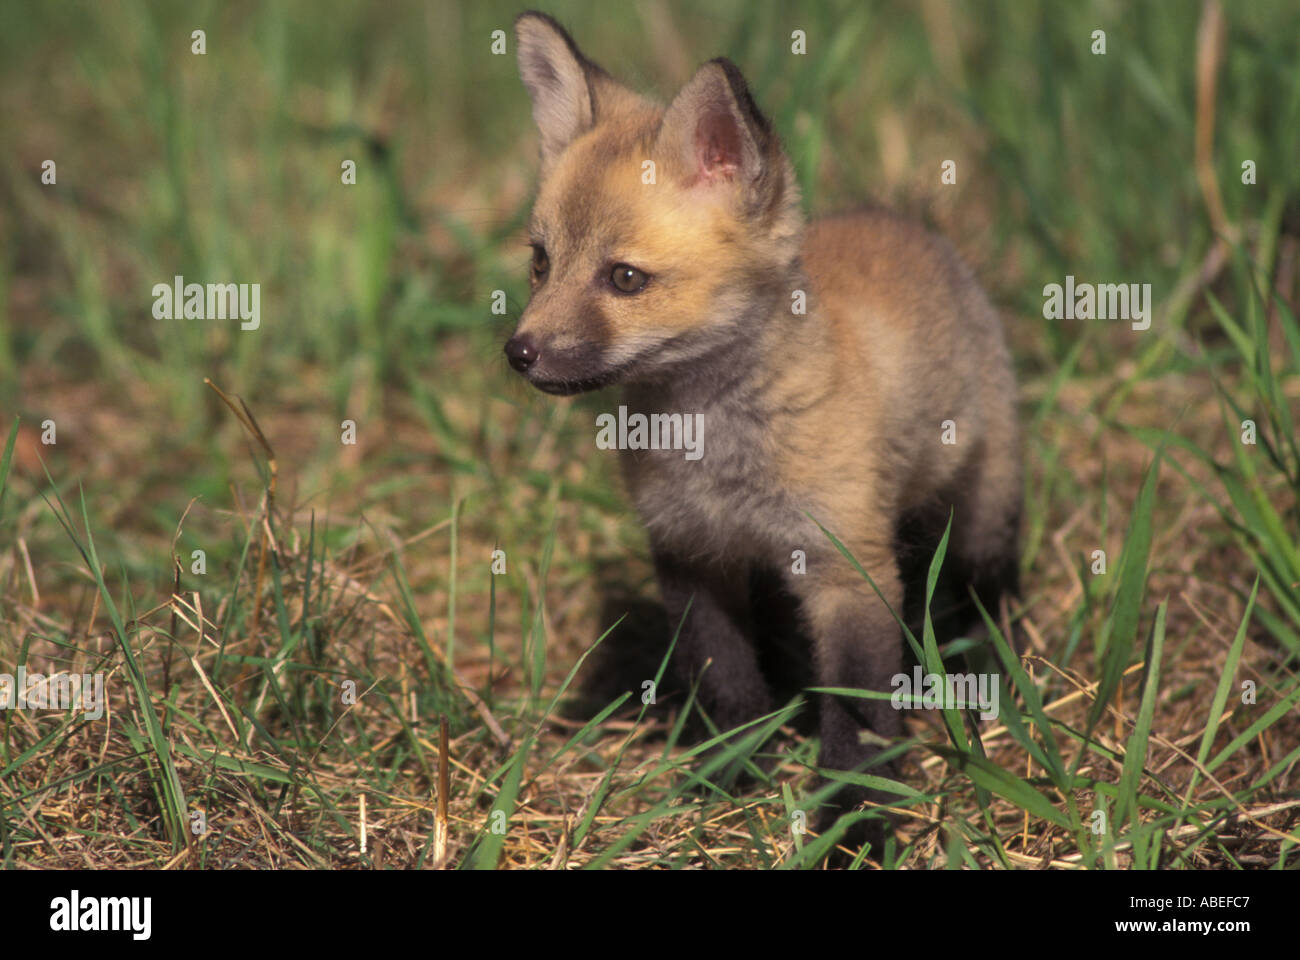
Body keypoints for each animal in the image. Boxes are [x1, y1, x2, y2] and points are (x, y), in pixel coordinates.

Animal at [504, 11, 1022, 857]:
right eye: (541, 264)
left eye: (624, 279)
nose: (519, 352)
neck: (715, 451)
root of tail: (893, 217)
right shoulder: (689, 552)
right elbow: (726, 683)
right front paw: (731, 777)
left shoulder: (851, 571)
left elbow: (856, 720)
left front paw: (856, 820)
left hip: (984, 510)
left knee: (982, 590)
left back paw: (981, 680)